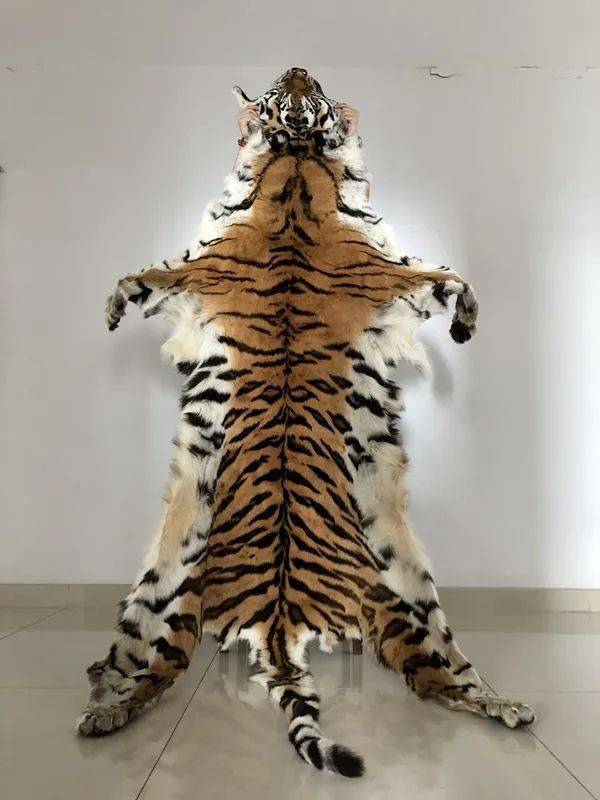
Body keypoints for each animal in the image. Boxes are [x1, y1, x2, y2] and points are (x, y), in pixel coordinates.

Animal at [77, 67, 535, 778]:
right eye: (282, 93)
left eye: (304, 93)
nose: (298, 68)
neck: (296, 155)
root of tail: (278, 620)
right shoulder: (225, 265)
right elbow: (145, 274)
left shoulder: (375, 266)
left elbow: (450, 276)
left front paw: (464, 324)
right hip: (171, 592)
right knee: (147, 668)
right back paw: (105, 706)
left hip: (396, 599)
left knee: (440, 676)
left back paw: (504, 706)